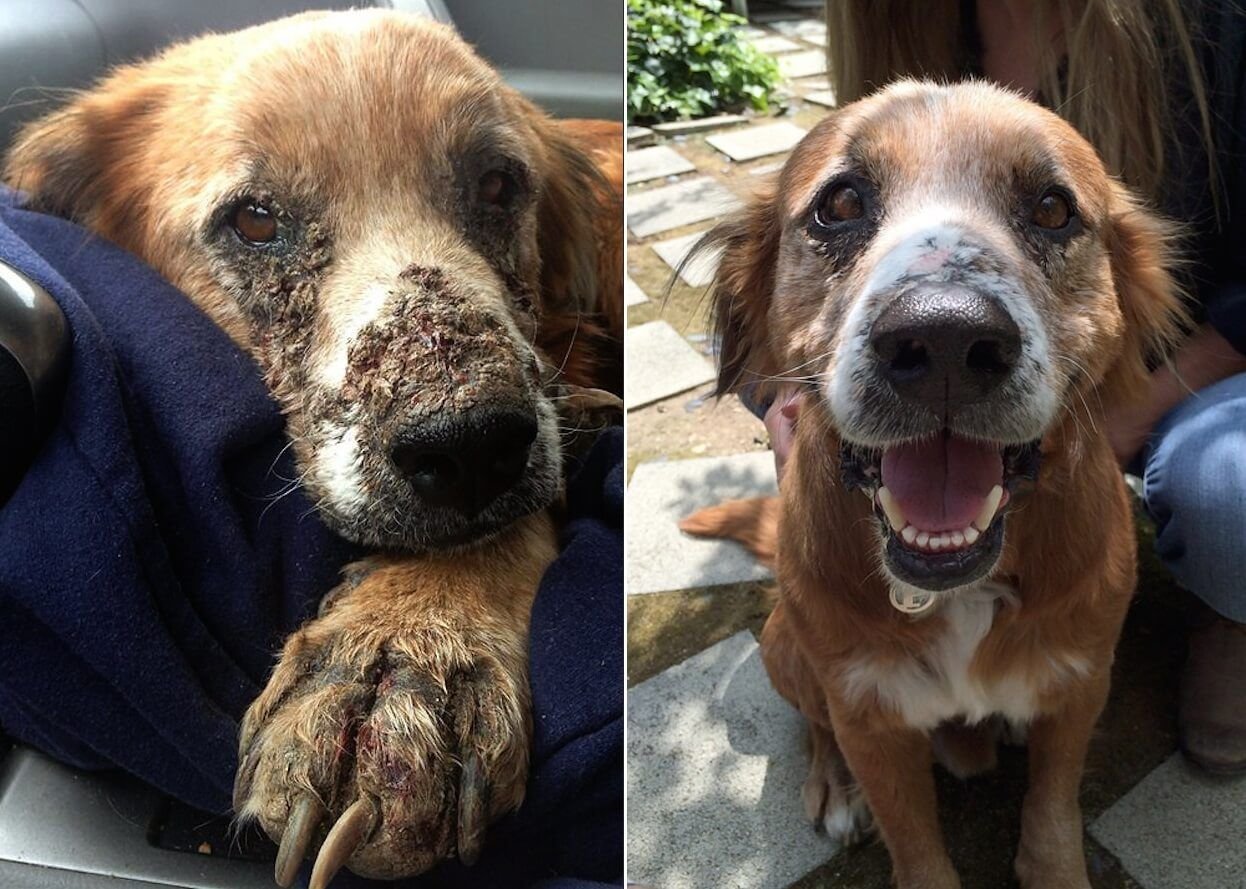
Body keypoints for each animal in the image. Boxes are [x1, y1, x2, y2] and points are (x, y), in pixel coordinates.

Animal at [687, 79, 1181, 882]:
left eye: (1053, 208)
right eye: (841, 203)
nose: (946, 336)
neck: (959, 591)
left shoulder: (1080, 683)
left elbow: (1053, 808)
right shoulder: (869, 715)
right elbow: (914, 846)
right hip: (786, 646)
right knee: (816, 725)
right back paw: (836, 784)